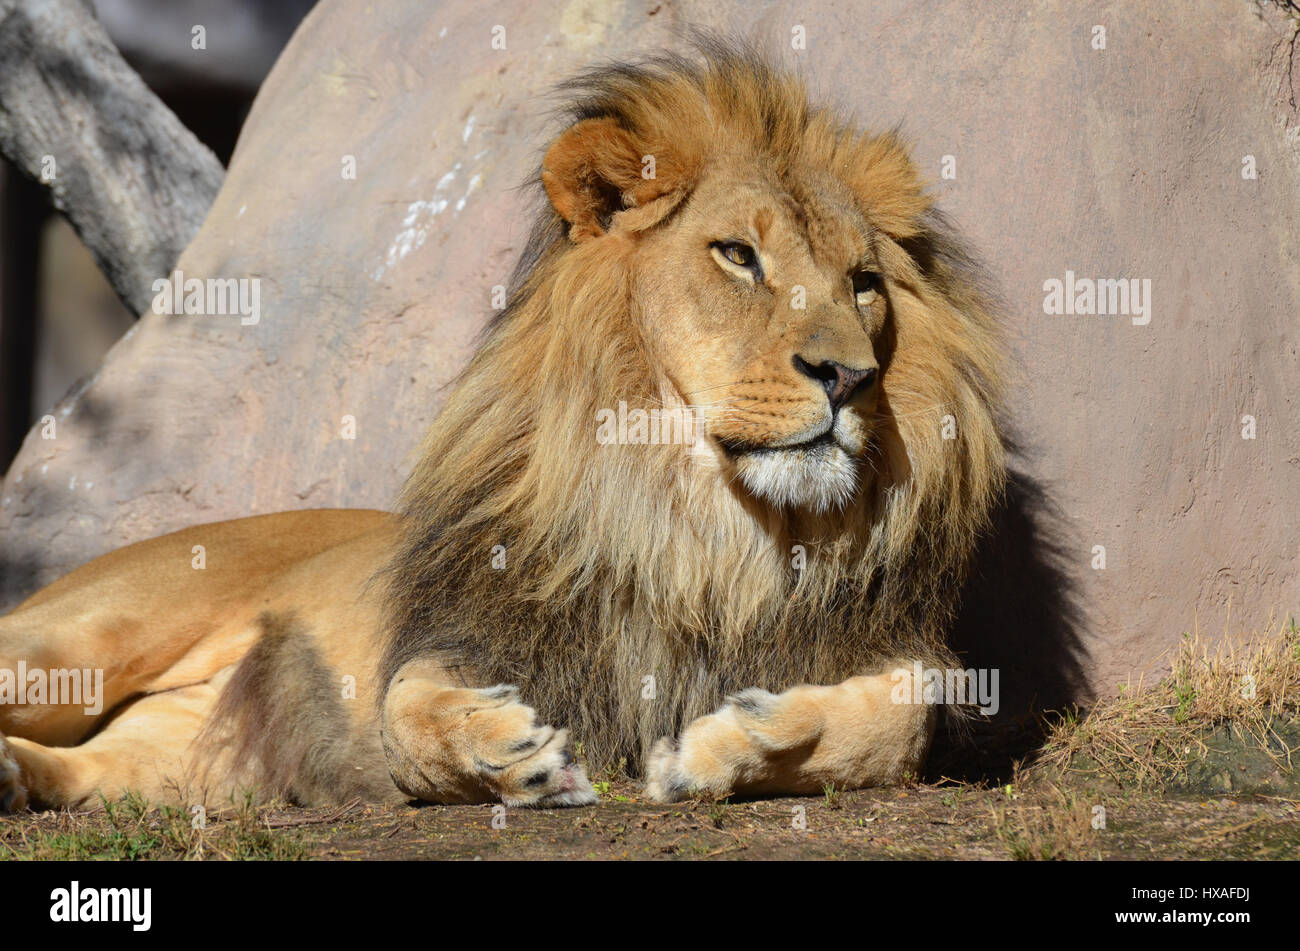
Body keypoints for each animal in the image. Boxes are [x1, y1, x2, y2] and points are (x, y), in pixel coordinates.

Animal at [0, 44, 1005, 813]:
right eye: (737, 256)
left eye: (862, 283)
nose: (851, 375)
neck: (697, 529)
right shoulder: (472, 630)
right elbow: (404, 708)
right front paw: (501, 751)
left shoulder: (895, 651)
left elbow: (900, 720)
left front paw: (736, 740)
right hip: (79, 641)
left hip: (170, 756)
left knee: (86, 768)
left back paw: (15, 775)